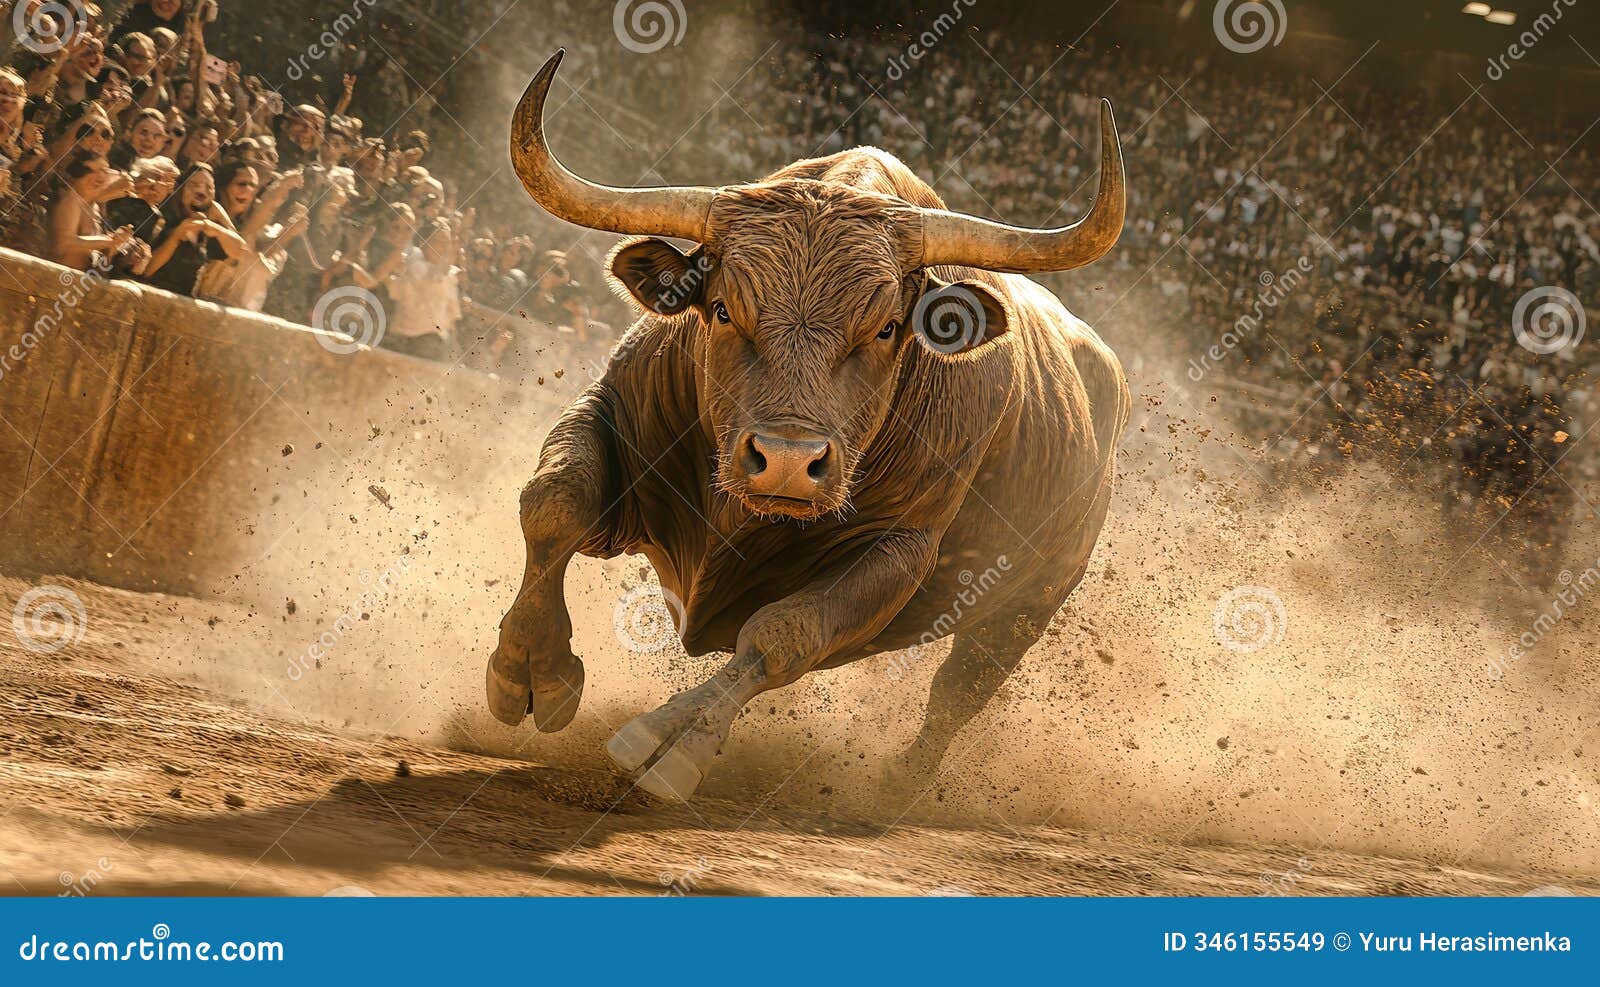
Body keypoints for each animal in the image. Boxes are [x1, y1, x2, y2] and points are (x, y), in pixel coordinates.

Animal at [487, 50, 1130, 802]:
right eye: (724, 309)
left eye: (885, 327)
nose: (789, 461)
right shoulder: (610, 412)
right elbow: (553, 503)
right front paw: (531, 667)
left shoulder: (900, 551)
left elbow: (785, 633)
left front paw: (671, 741)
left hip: (1025, 609)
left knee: (956, 694)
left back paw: (898, 787)